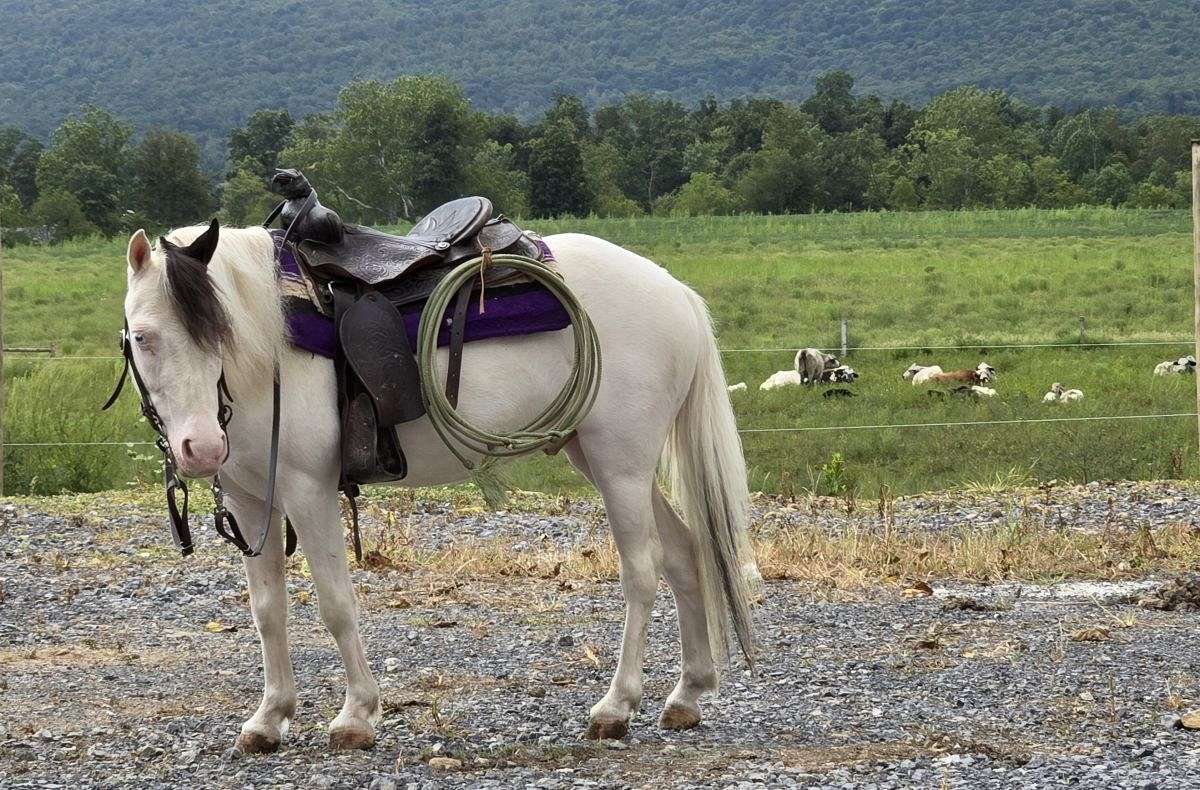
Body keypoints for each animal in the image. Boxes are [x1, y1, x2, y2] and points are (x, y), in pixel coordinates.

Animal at [118, 219, 758, 753]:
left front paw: (356, 716)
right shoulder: (251, 501)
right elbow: (267, 610)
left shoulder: (307, 492)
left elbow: (335, 604)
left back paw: (616, 707)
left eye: (219, 330)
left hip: (620, 463)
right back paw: (687, 696)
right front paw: (268, 719)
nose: (201, 448)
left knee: (642, 572)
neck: (270, 350)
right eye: (142, 337)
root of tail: (675, 292)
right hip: (611, 461)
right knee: (685, 553)